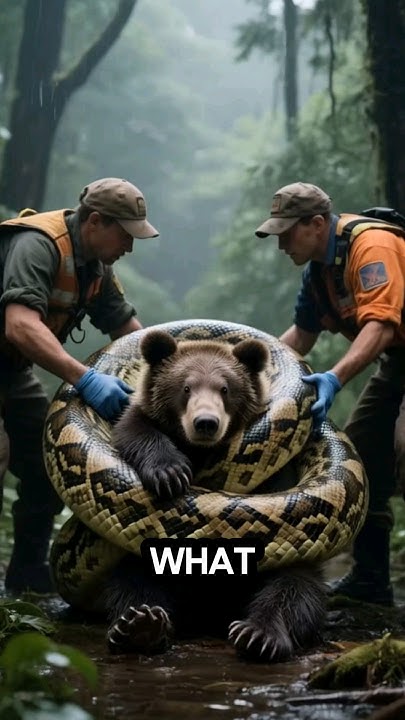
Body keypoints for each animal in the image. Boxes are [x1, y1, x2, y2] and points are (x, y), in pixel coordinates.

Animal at [106, 329, 327, 662]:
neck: (199, 449)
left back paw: (259, 634)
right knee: (134, 581)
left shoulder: (274, 472)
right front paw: (170, 473)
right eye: (185, 387)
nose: (206, 423)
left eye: (225, 388)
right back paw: (141, 626)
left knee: (293, 588)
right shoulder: (141, 417)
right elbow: (136, 430)